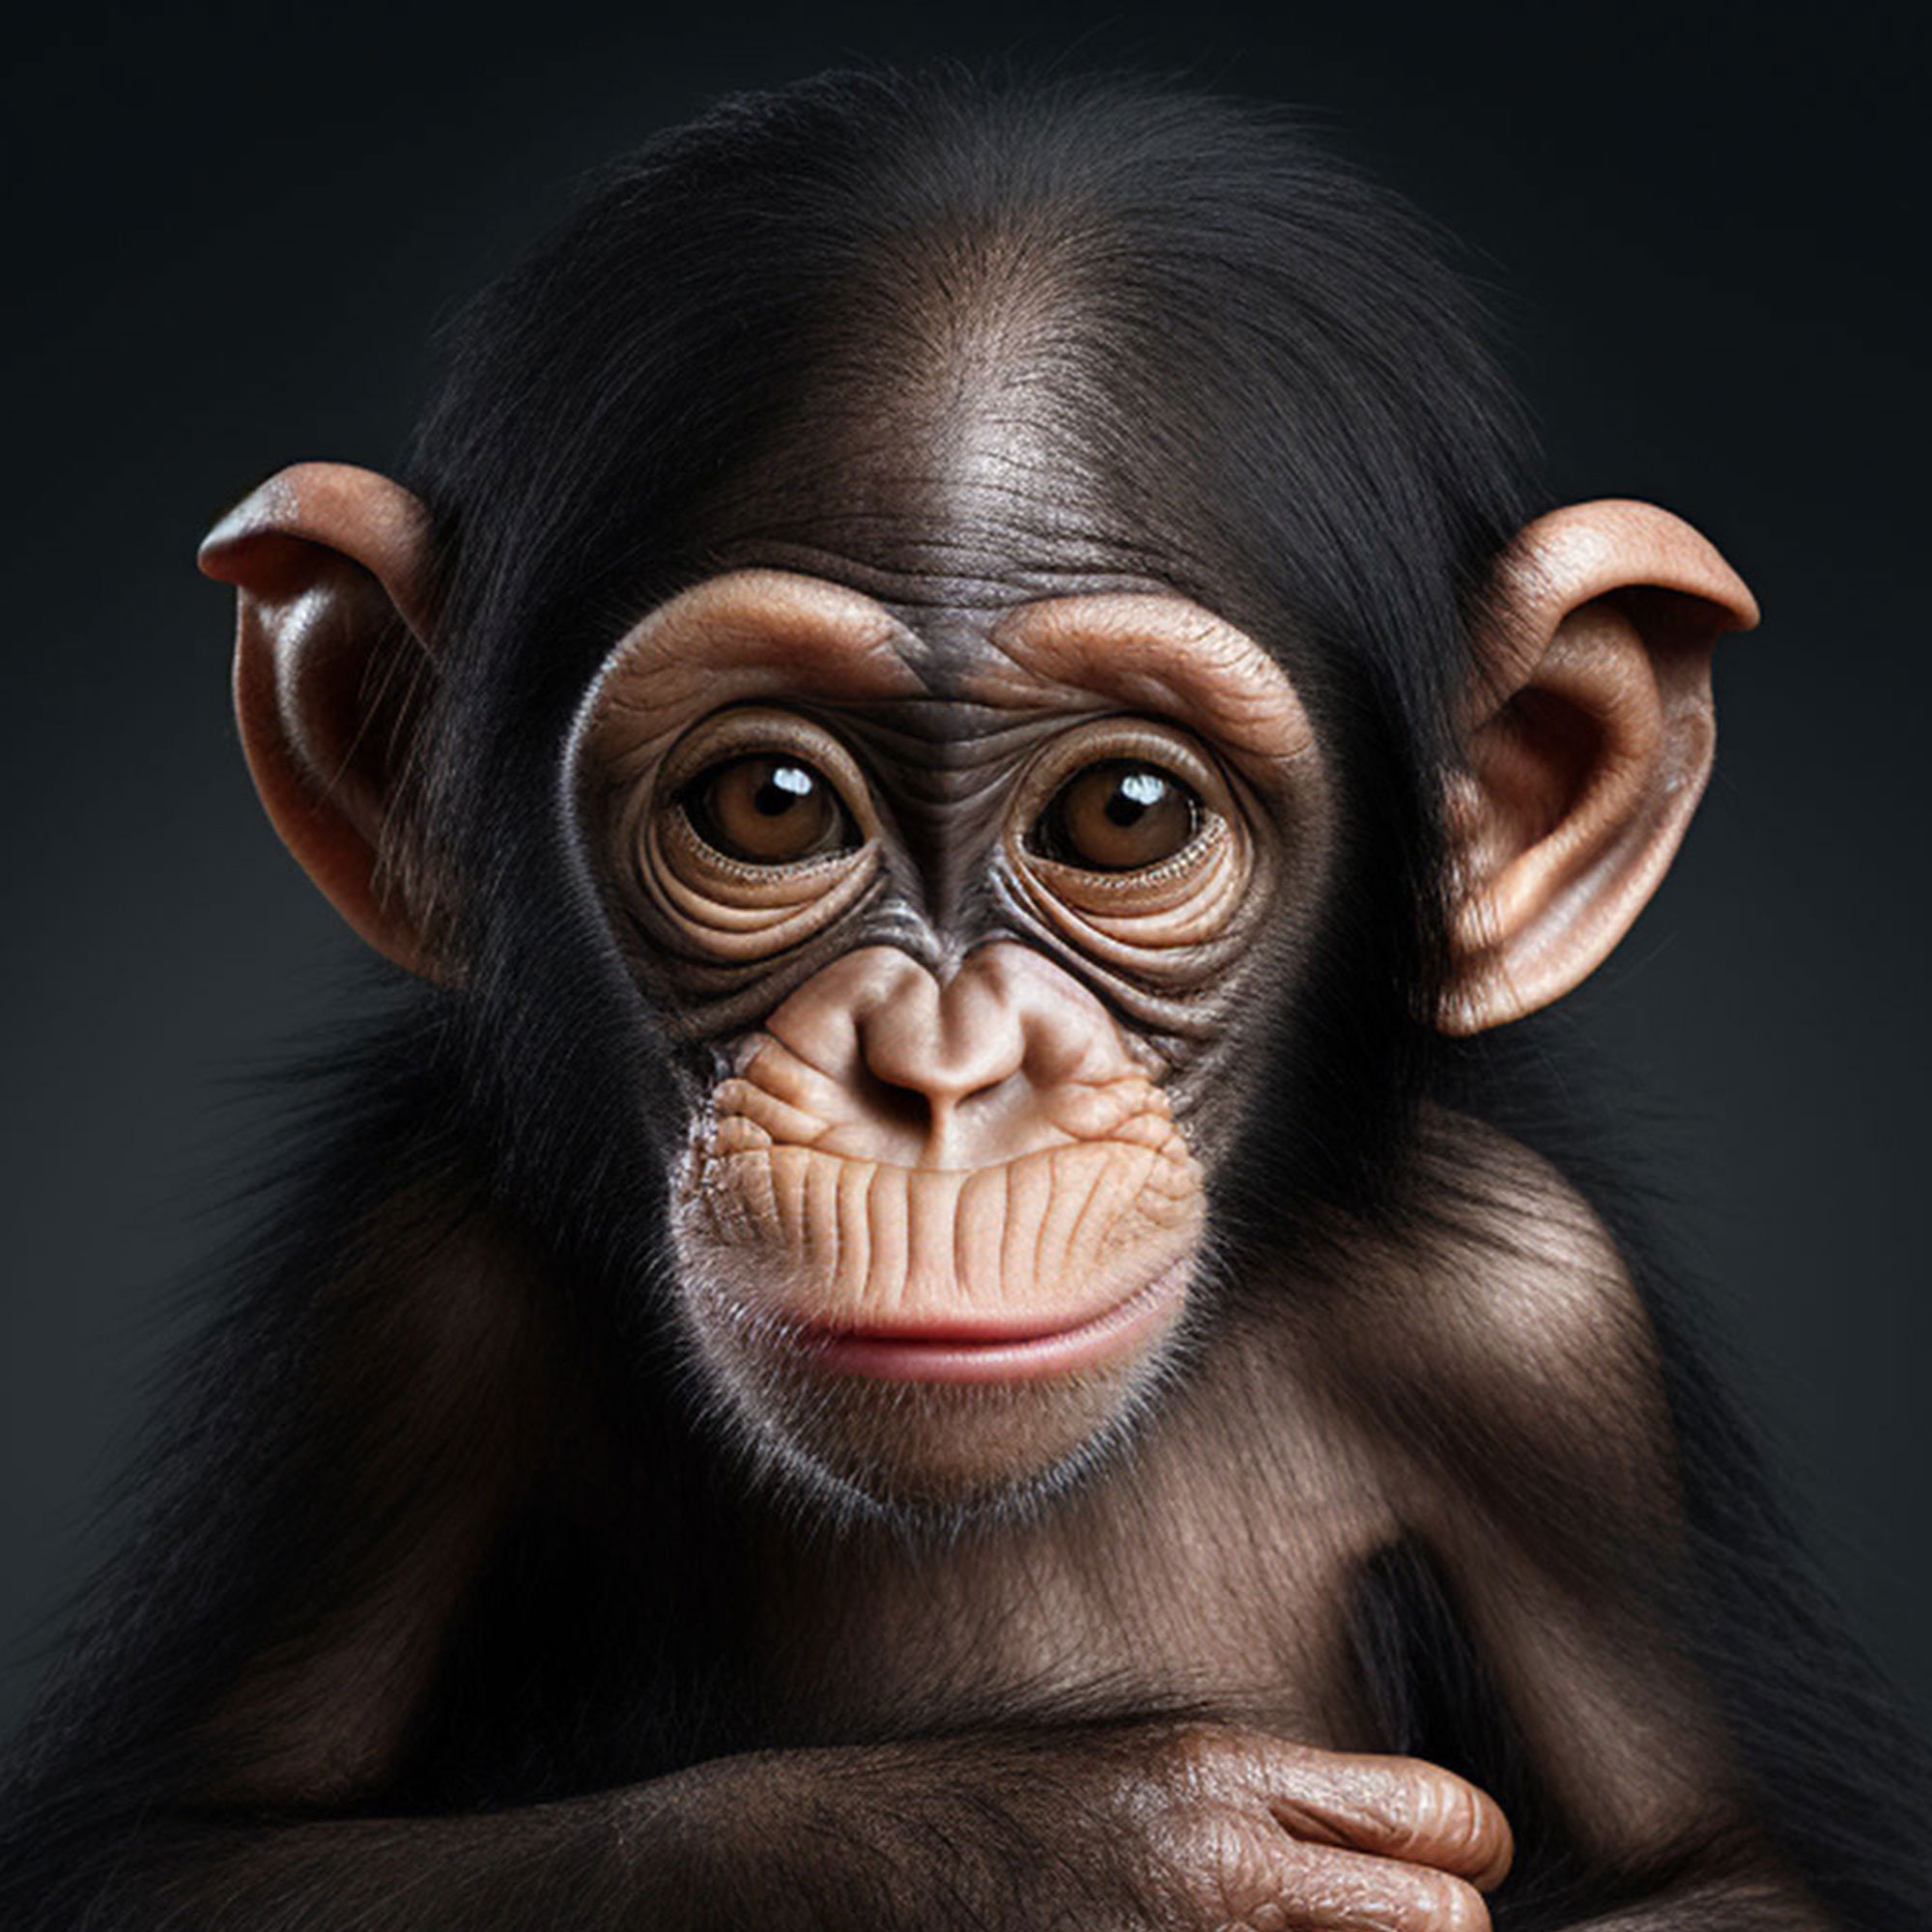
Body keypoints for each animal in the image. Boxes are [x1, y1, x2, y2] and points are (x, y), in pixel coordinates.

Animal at [1, 65, 1925, 1932]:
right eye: (768, 804)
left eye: (1126, 813)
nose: (940, 1075)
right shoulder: (394, 1310)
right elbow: (179, 1852)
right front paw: (1093, 1848)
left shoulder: (1545, 1333)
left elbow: (1718, 1867)